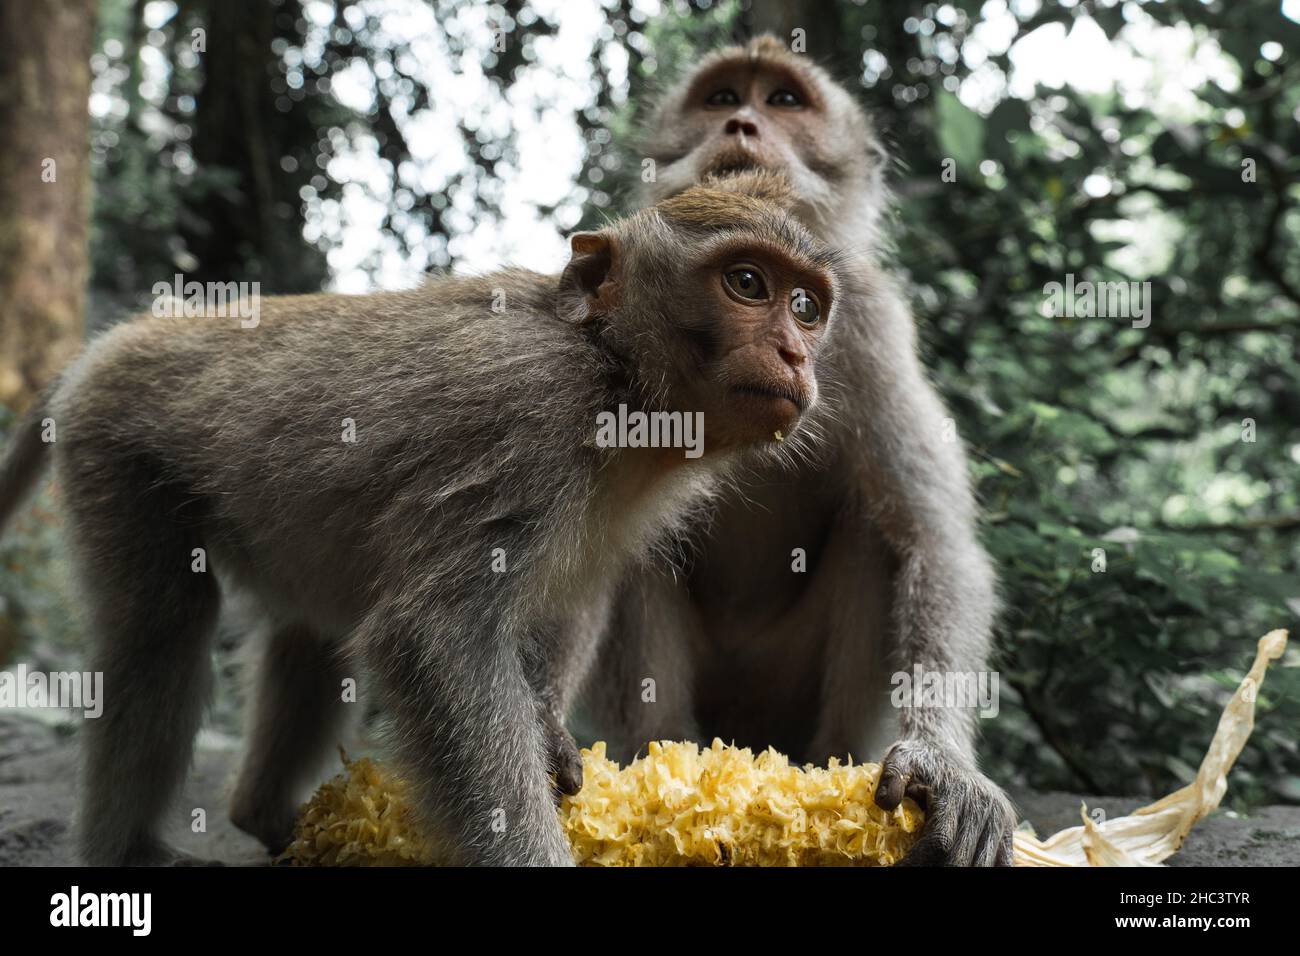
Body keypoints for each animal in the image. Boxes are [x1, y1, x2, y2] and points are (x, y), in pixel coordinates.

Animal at [0, 174, 841, 866]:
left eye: (805, 307)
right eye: (747, 283)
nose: (796, 355)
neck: (613, 370)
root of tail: (123, 337)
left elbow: (569, 600)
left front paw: (546, 728)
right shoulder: (529, 412)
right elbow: (439, 638)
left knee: (313, 629)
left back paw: (265, 818)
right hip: (116, 447)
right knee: (161, 627)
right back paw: (129, 850)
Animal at [575, 36, 1018, 866]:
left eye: (783, 102)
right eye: (722, 99)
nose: (743, 124)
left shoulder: (875, 320)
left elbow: (934, 543)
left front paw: (942, 761)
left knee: (877, 535)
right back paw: (665, 770)